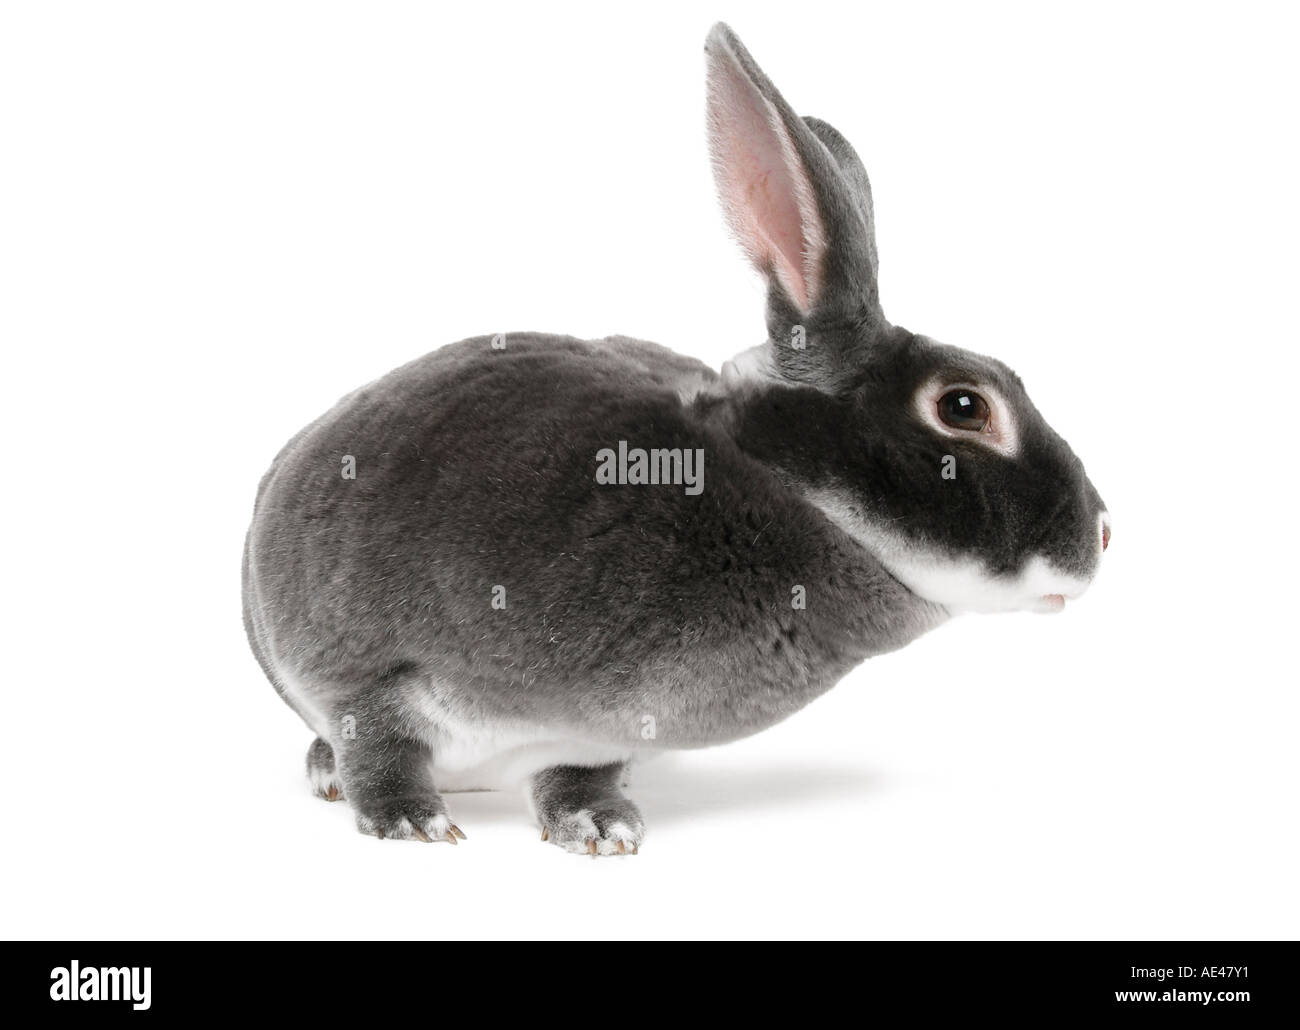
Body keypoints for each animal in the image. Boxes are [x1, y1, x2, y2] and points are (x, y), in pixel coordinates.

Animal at [242, 23, 1110, 856]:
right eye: (964, 406)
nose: (1102, 533)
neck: (789, 491)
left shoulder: (589, 739)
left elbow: (578, 775)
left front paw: (600, 828)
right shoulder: (370, 670)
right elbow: (378, 743)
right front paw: (409, 823)